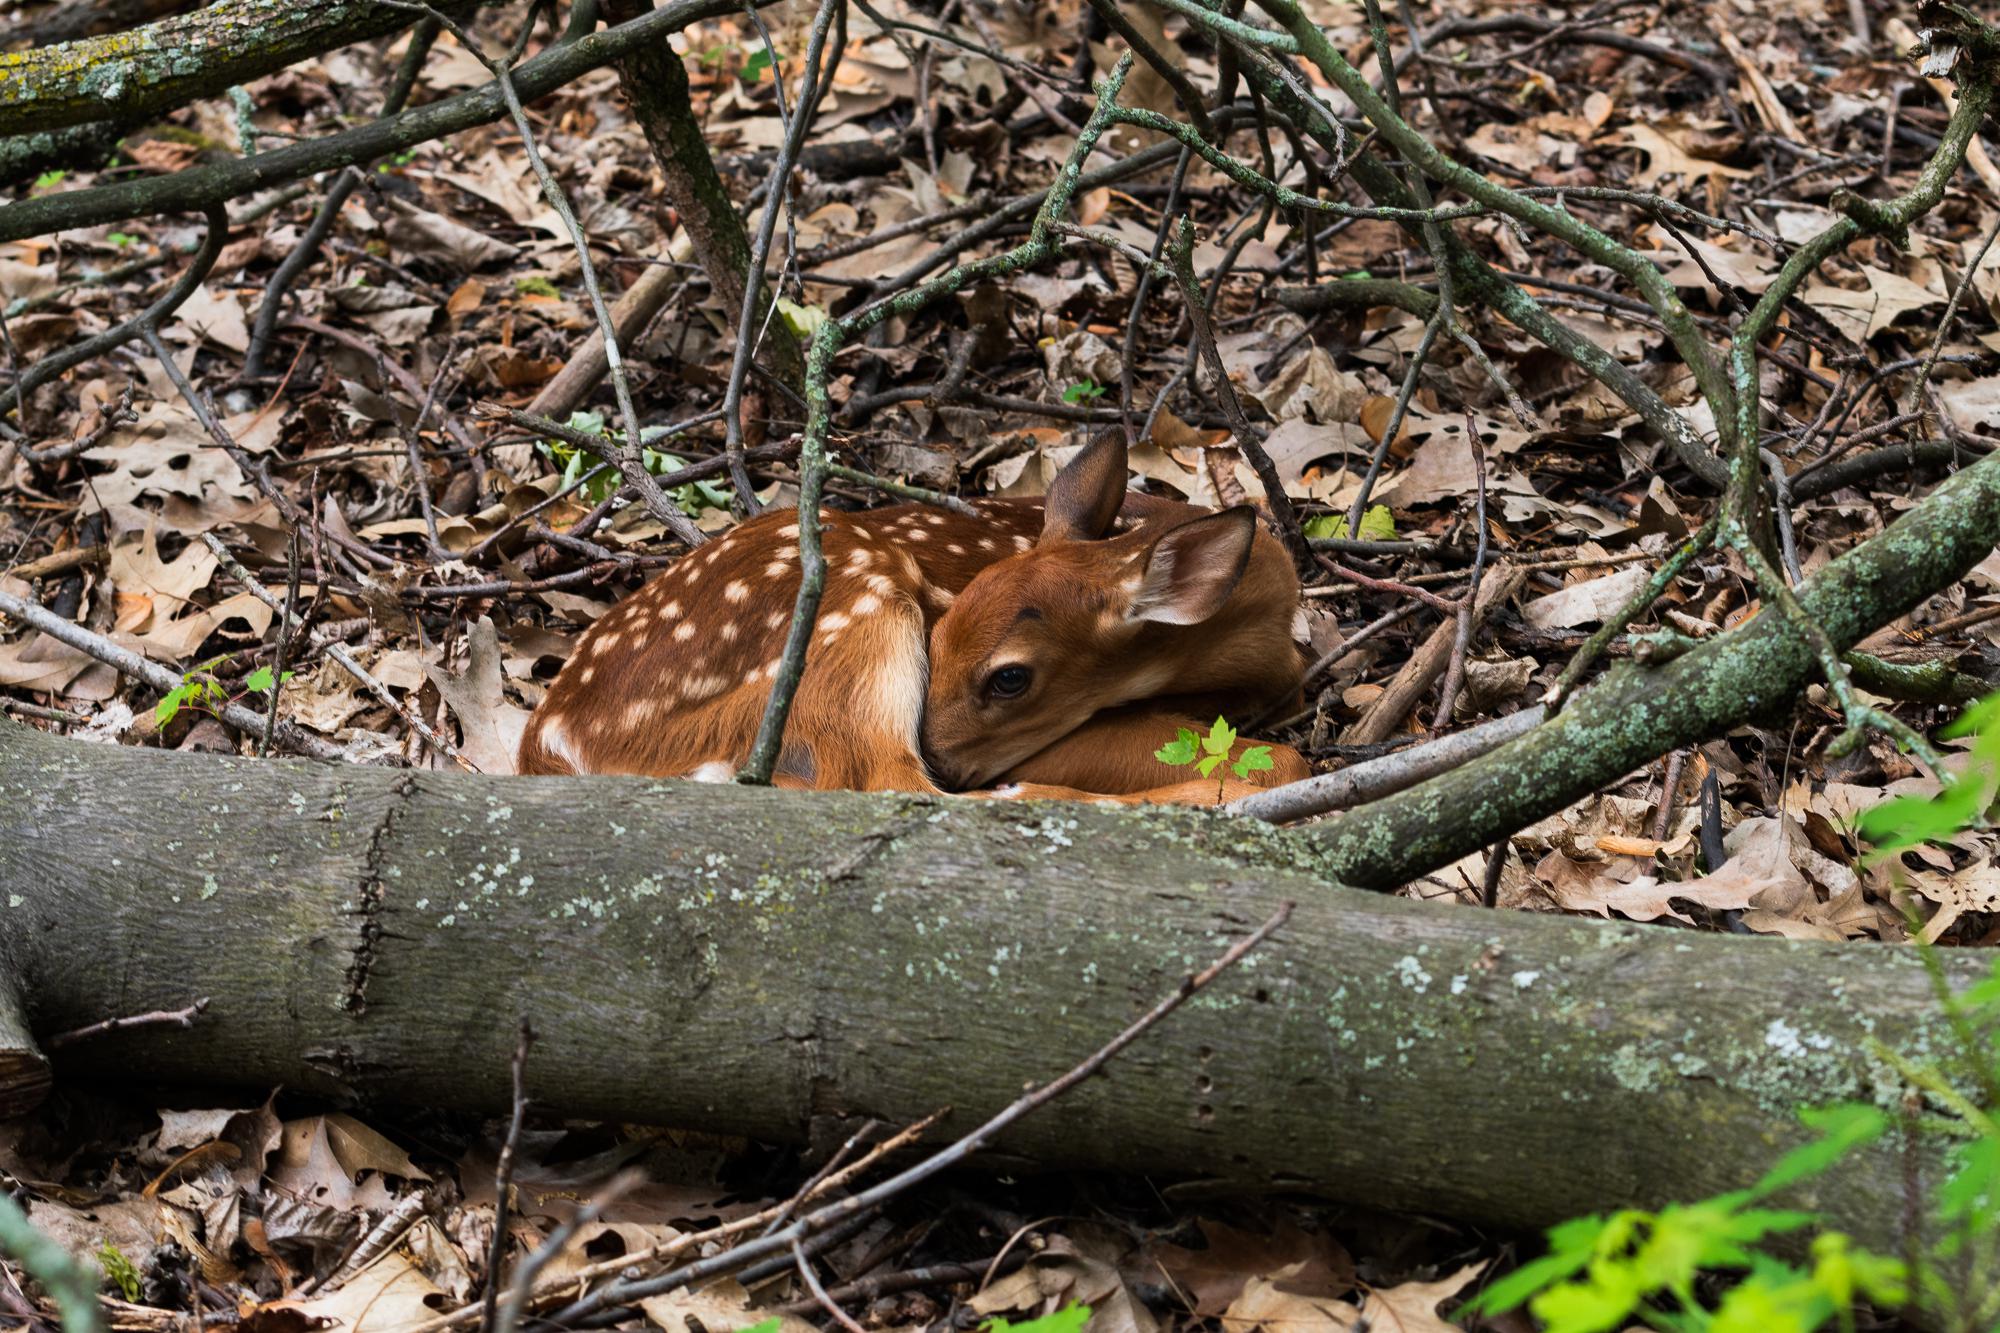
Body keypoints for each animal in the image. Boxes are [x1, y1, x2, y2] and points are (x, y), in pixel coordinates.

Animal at [518, 435, 1311, 803]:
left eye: (1009, 679)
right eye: (941, 634)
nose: (949, 757)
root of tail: (552, 748)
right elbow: (1288, 757)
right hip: (858, 603)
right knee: (894, 784)